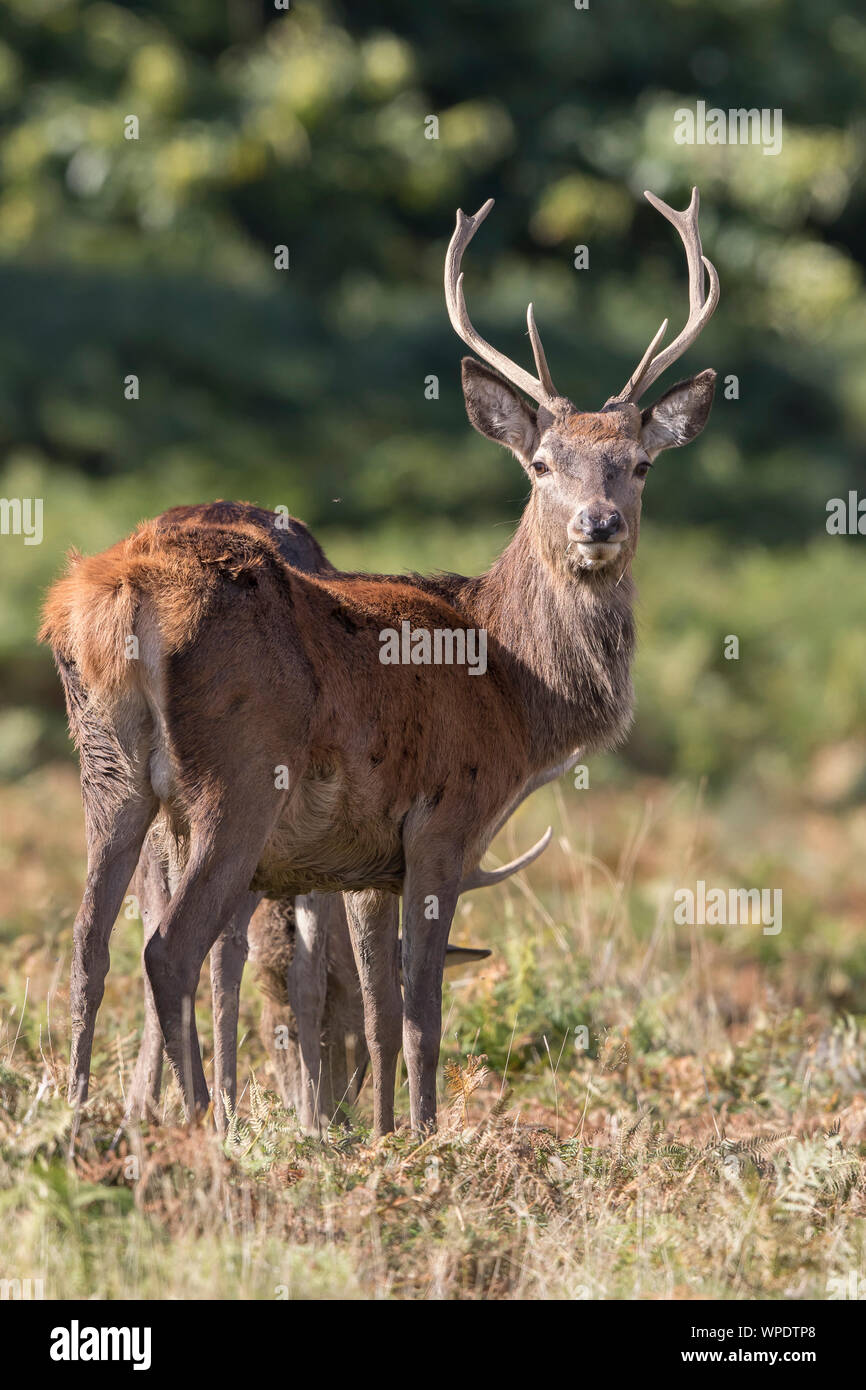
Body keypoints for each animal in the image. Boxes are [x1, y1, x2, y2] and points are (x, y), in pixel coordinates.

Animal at [41, 185, 718, 1135]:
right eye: (541, 463)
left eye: (641, 464)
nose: (598, 525)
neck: (513, 683)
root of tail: (120, 595)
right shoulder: (443, 817)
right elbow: (423, 1005)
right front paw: (428, 1138)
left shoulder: (367, 858)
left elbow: (377, 1004)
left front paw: (384, 1129)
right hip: (238, 776)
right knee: (172, 947)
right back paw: (204, 1124)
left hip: (107, 772)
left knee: (86, 939)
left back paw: (78, 1119)